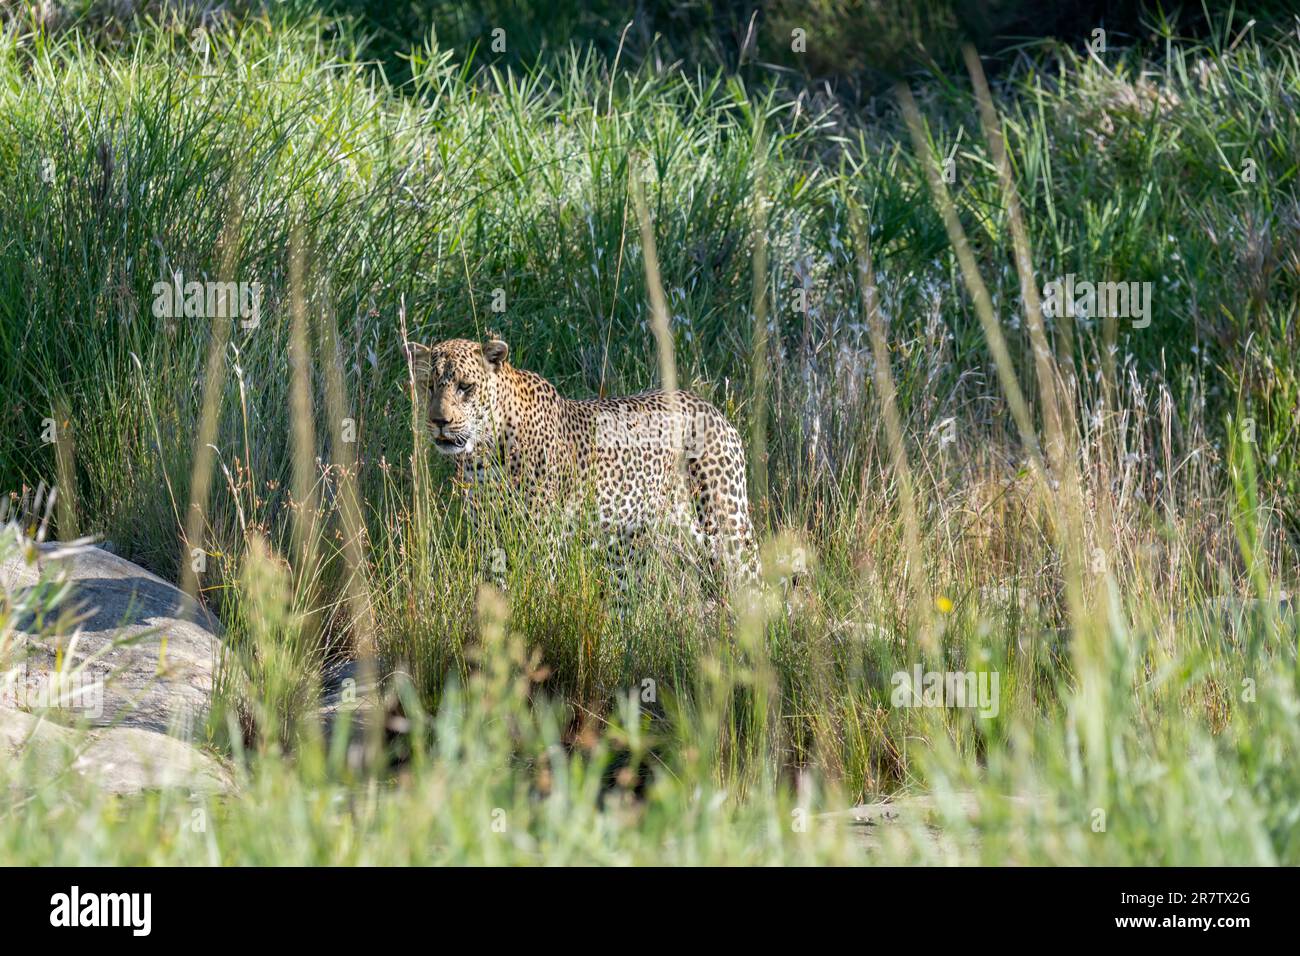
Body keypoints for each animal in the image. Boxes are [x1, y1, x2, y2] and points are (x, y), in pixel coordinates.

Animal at [407, 335, 760, 592]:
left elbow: (537, 589)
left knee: (752, 574)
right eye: (429, 386)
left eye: (465, 387)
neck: (482, 455)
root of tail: (710, 407)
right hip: (628, 543)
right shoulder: (489, 534)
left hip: (723, 521)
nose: (439, 421)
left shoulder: (541, 536)